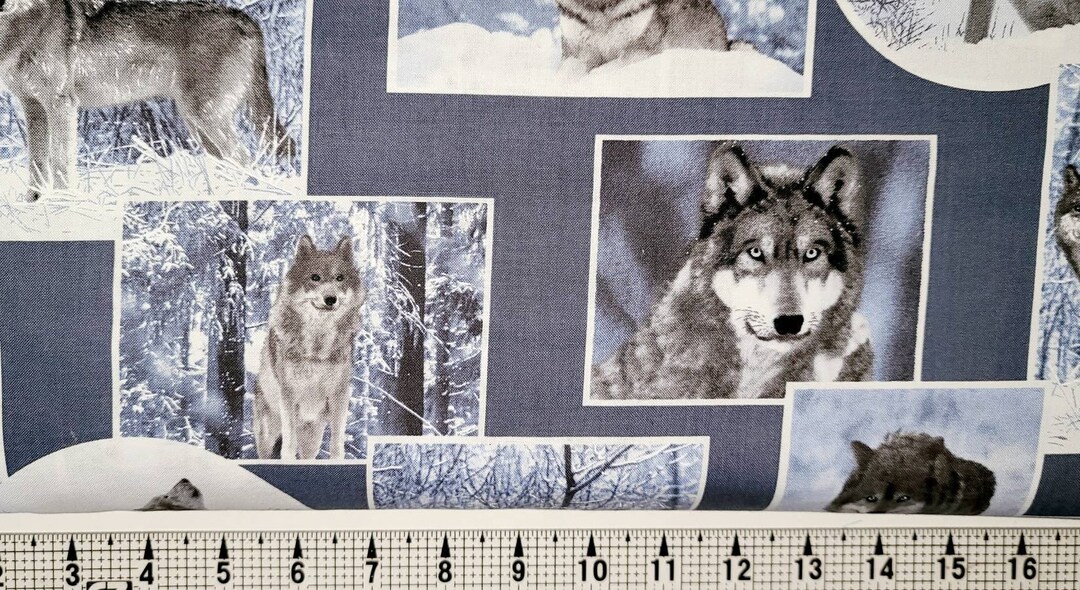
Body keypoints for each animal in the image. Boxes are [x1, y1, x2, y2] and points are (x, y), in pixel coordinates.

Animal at [0, 0, 296, 202]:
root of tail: (247, 18)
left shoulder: (61, 105)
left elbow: (60, 164)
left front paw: (62, 205)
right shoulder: (33, 108)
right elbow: (37, 165)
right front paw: (33, 205)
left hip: (205, 118)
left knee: (246, 159)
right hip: (198, 126)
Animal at [255, 236, 365, 461]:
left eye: (339, 278)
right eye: (315, 277)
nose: (330, 299)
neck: (317, 346)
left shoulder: (340, 394)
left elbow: (337, 441)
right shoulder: (289, 395)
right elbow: (288, 445)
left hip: (312, 438)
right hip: (268, 434)